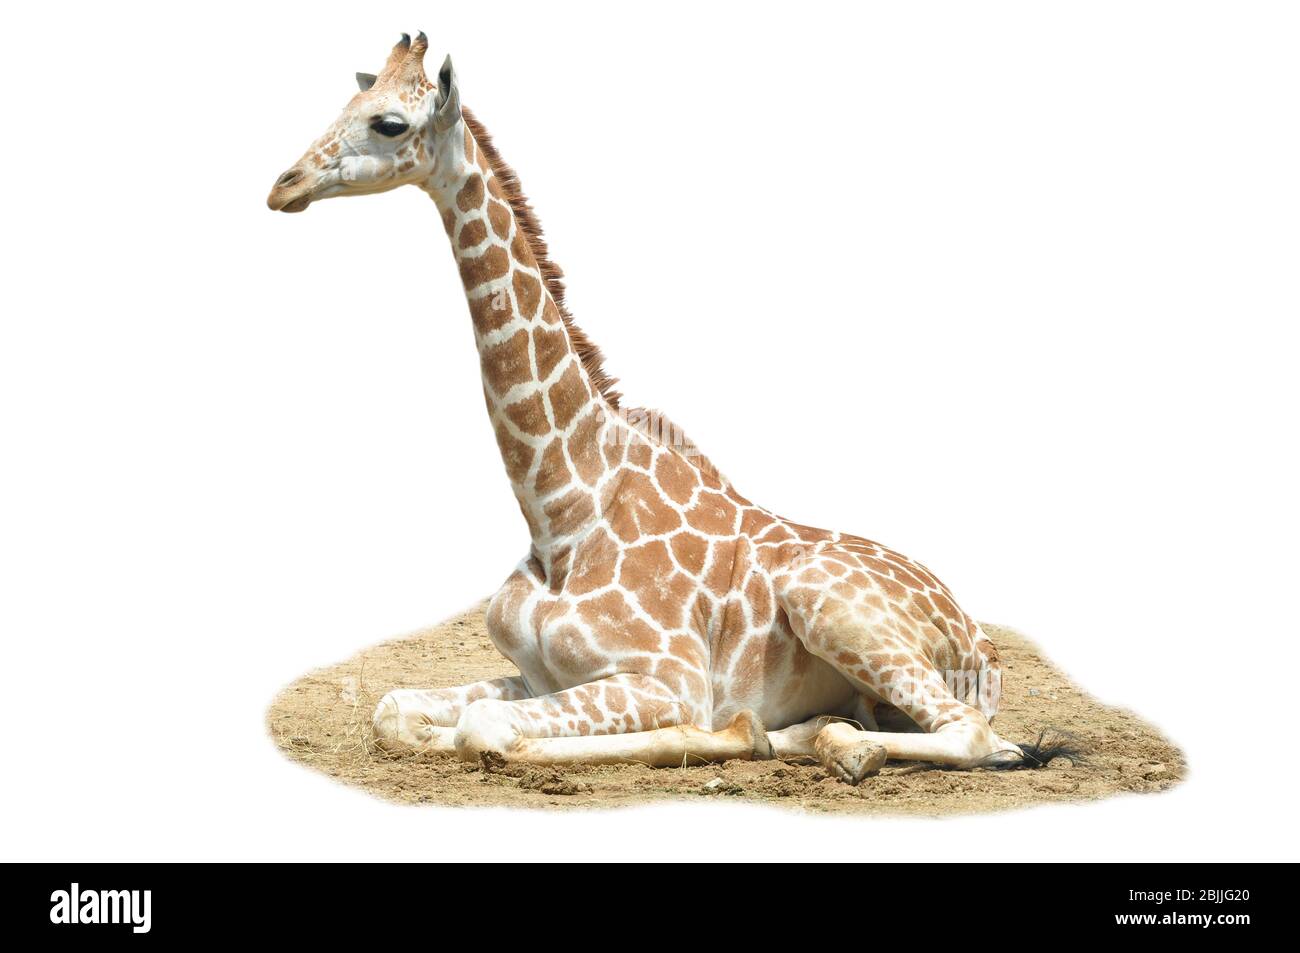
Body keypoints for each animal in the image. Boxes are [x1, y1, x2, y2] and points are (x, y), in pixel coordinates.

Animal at [266, 33, 1061, 783]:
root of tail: (982, 641)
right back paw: (807, 733)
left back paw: (821, 744)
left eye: (390, 123)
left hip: (827, 604)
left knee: (974, 735)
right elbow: (395, 708)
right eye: (346, 104)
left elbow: (487, 730)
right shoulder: (534, 673)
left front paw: (730, 733)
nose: (284, 185)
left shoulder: (669, 679)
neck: (562, 505)